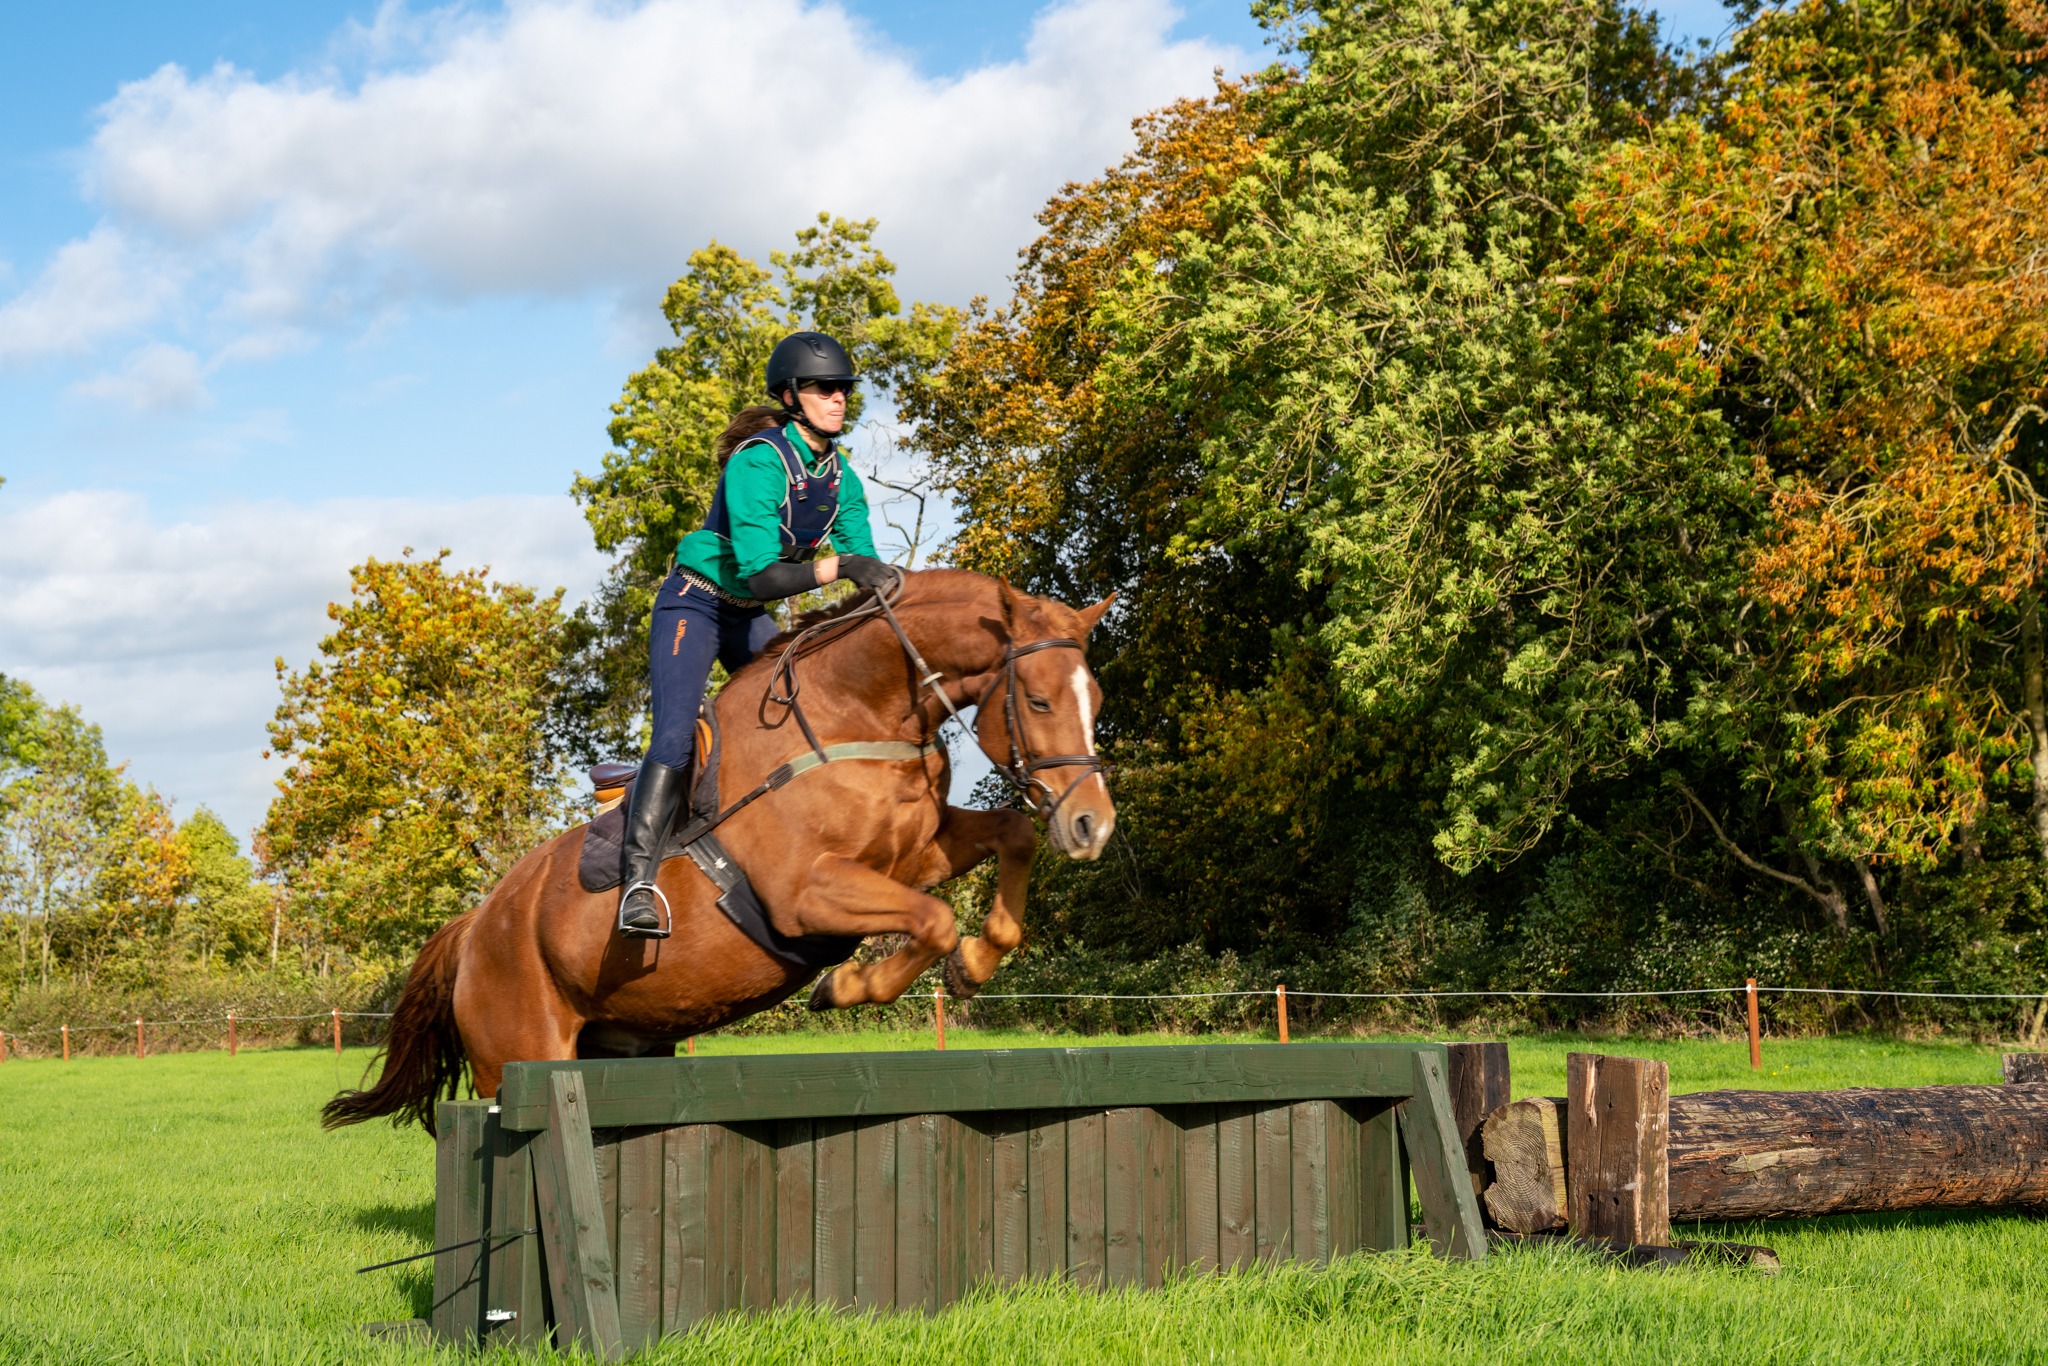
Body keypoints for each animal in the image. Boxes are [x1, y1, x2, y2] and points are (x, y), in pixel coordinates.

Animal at [322, 568, 1115, 1131]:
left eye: (1097, 700)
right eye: (1039, 701)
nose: (1092, 825)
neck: (861, 707)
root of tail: (475, 927)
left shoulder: (915, 854)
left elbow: (1010, 838)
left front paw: (975, 965)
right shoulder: (806, 894)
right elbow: (934, 919)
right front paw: (847, 987)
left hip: (621, 1043)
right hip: (519, 1054)